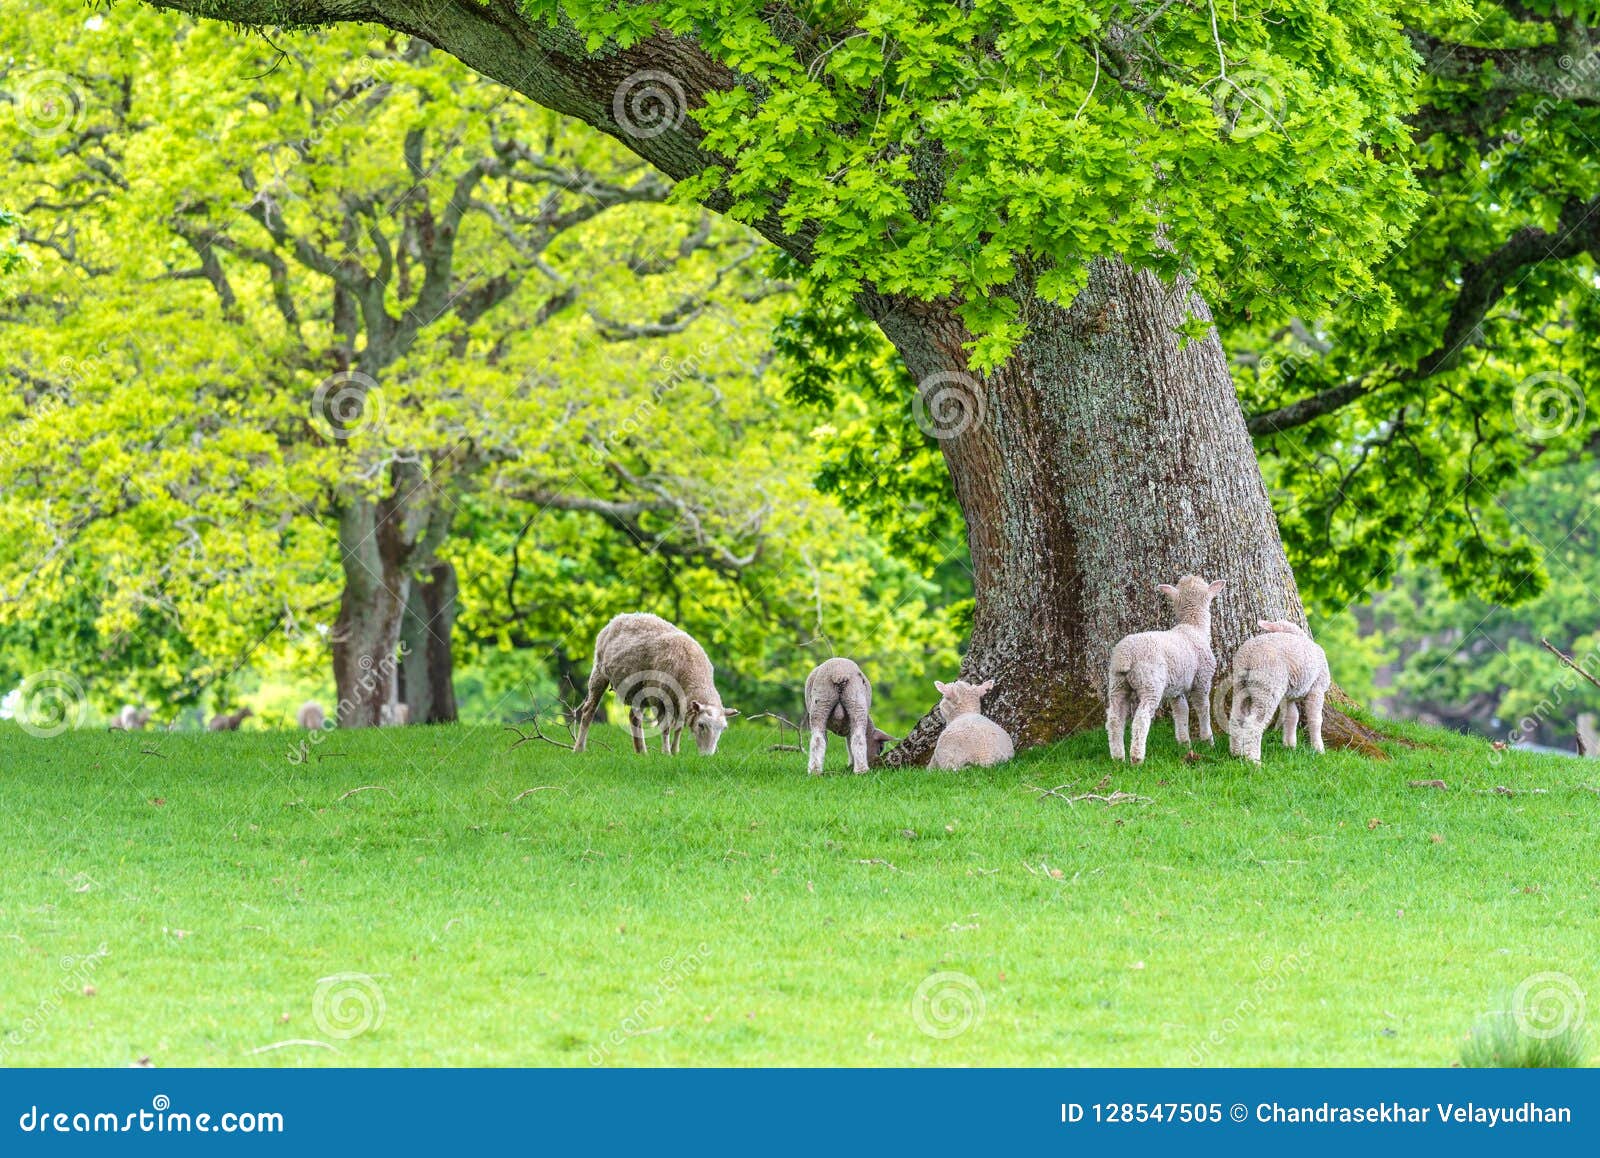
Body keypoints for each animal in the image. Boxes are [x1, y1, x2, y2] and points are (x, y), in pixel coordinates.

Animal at [575, 612, 739, 755]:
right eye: (701, 725)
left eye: (723, 729)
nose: (707, 756)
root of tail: (618, 617)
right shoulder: (660, 698)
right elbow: (666, 728)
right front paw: (666, 753)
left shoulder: (681, 703)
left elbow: (678, 728)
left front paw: (675, 751)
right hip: (599, 671)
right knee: (589, 710)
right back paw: (579, 748)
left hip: (640, 688)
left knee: (634, 717)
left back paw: (642, 753)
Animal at [1106, 575, 1225, 764]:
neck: (1193, 627)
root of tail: (1126, 656)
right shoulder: (1202, 680)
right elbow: (1202, 708)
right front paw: (1208, 741)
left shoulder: (1177, 688)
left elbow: (1181, 711)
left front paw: (1184, 744)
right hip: (1150, 683)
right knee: (1141, 718)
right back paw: (1136, 757)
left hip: (1117, 683)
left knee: (1114, 719)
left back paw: (1118, 757)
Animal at [1227, 619, 1331, 764]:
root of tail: (1249, 656)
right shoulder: (1317, 688)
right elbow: (1315, 719)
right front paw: (1319, 749)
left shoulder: (1289, 695)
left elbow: (1292, 716)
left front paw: (1290, 746)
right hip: (1267, 686)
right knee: (1254, 723)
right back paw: (1254, 760)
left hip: (1241, 686)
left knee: (1236, 718)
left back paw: (1236, 752)